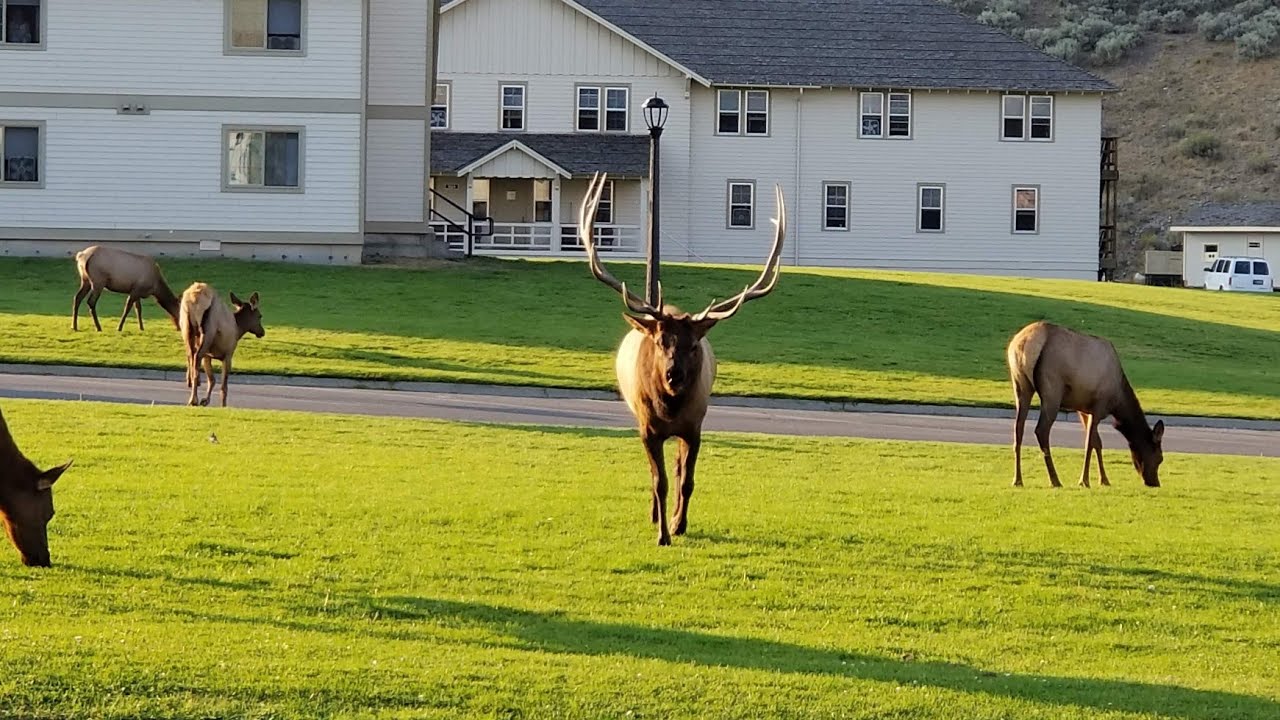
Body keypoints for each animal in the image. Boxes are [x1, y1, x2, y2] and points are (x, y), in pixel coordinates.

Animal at [578, 172, 786, 545]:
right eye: (661, 342)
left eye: (694, 345)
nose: (674, 376)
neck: (669, 409)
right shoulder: (647, 428)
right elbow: (657, 480)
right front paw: (662, 533)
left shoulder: (695, 426)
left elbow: (686, 480)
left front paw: (678, 524)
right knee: (656, 474)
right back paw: (653, 514)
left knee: (676, 468)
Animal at [1007, 320, 1165, 489]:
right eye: (1159, 457)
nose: (1155, 483)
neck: (1118, 400)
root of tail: (1023, 344)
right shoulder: (1099, 406)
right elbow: (1090, 442)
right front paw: (1084, 480)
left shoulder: (1083, 409)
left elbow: (1097, 442)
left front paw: (1104, 480)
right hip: (1052, 389)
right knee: (1041, 430)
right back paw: (1055, 480)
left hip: (1020, 384)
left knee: (1018, 428)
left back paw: (1017, 480)